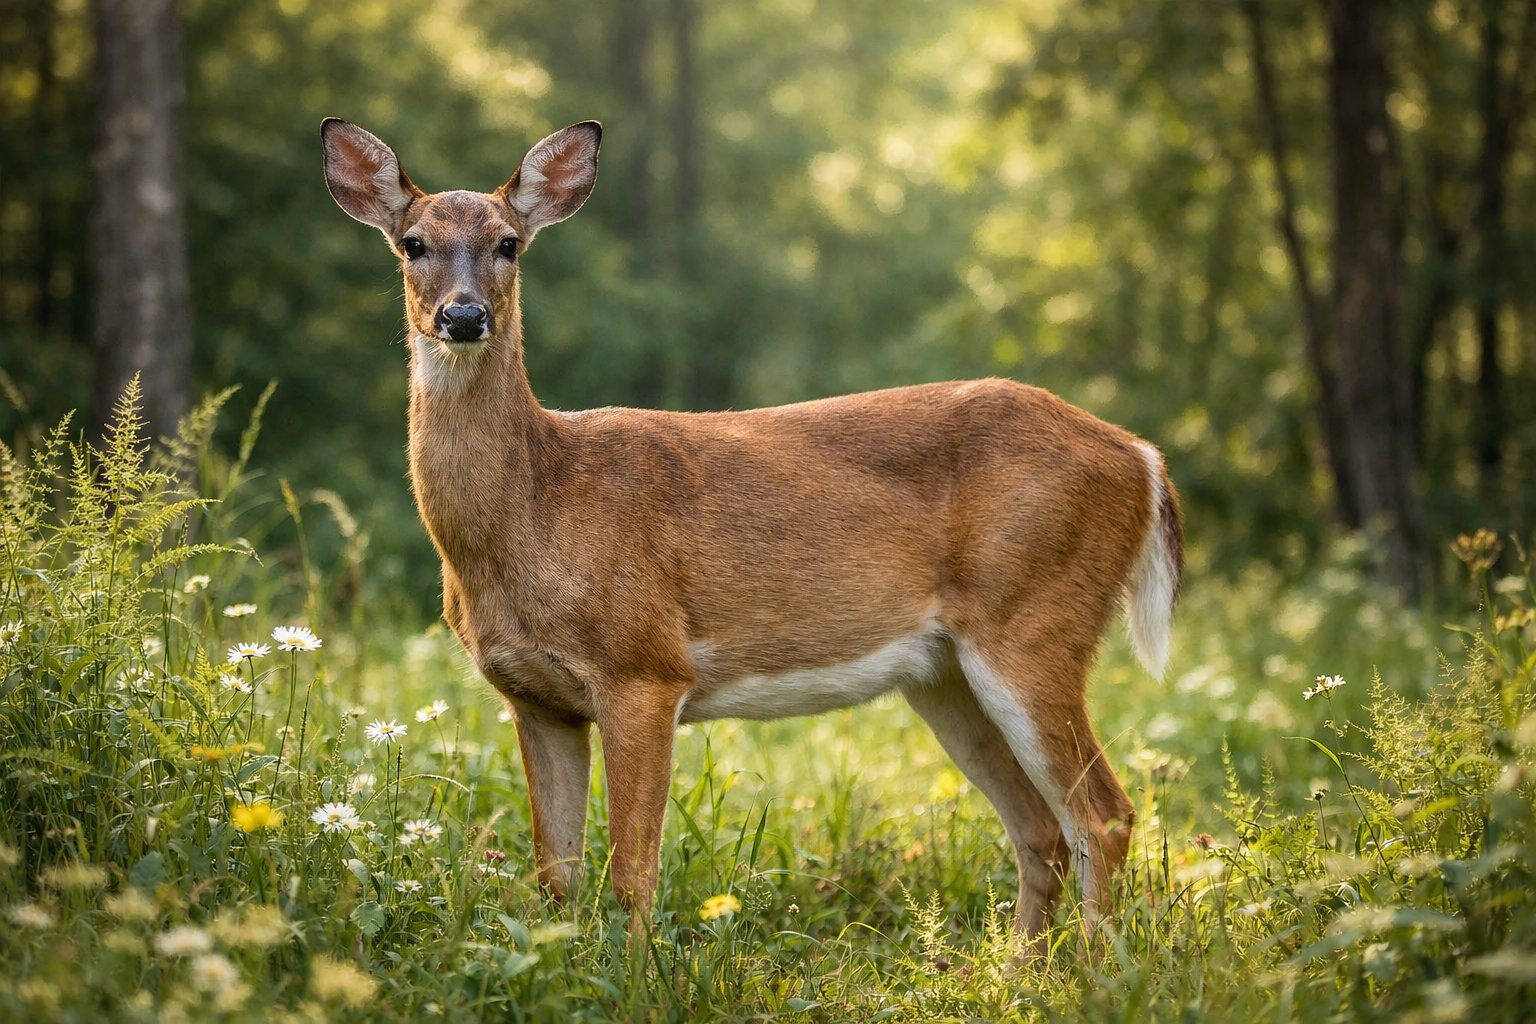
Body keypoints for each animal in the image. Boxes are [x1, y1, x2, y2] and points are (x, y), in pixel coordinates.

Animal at [321, 117, 1183, 944]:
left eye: (509, 243)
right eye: (413, 243)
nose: (464, 316)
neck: (536, 509)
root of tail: (1140, 455)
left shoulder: (644, 666)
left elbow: (632, 876)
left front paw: (638, 979)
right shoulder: (536, 699)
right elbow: (555, 880)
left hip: (1034, 618)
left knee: (1104, 816)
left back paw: (1094, 973)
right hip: (944, 673)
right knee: (1041, 830)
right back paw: (1016, 975)